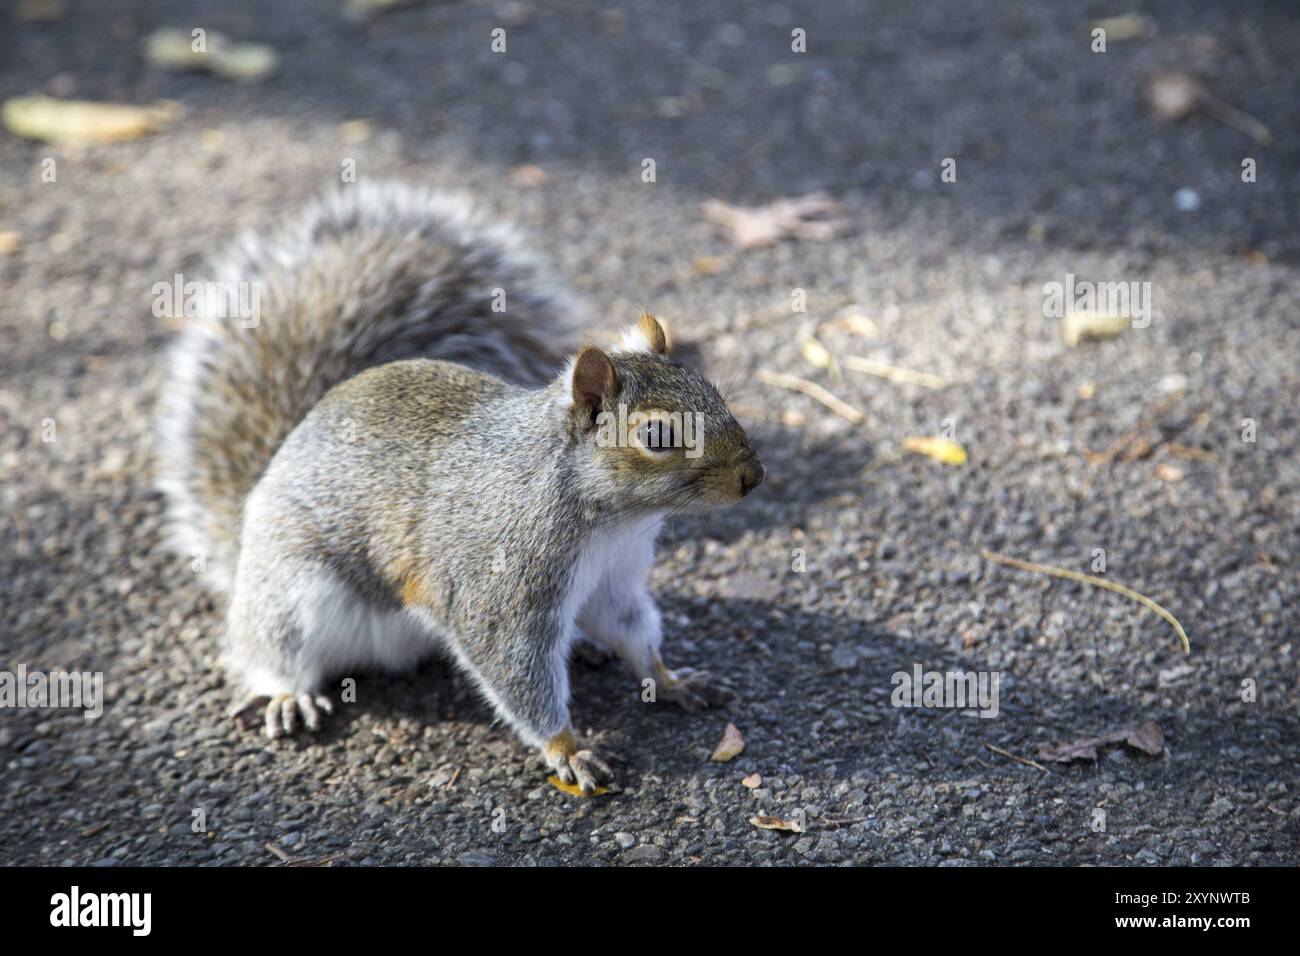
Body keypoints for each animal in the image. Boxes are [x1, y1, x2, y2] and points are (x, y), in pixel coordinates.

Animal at [157, 181, 765, 792]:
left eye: (713, 390)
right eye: (657, 435)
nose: (752, 478)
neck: (611, 518)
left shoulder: (612, 580)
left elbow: (634, 629)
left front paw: (671, 679)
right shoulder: (500, 586)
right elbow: (516, 669)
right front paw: (567, 749)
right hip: (289, 586)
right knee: (269, 643)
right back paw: (287, 693)